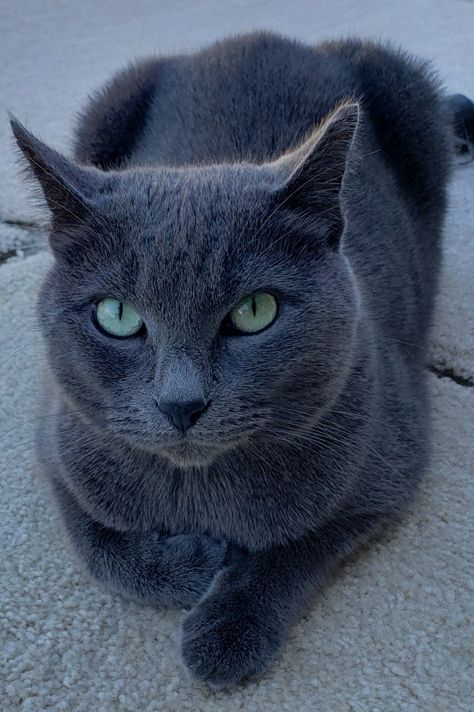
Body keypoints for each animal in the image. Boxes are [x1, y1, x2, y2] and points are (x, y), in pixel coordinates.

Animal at [10, 32, 470, 684]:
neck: (198, 488)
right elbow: (100, 547)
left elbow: (300, 545)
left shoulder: (389, 461)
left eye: (255, 311)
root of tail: (266, 39)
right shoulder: (59, 444)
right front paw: (196, 563)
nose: (181, 403)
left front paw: (226, 631)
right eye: (117, 316)